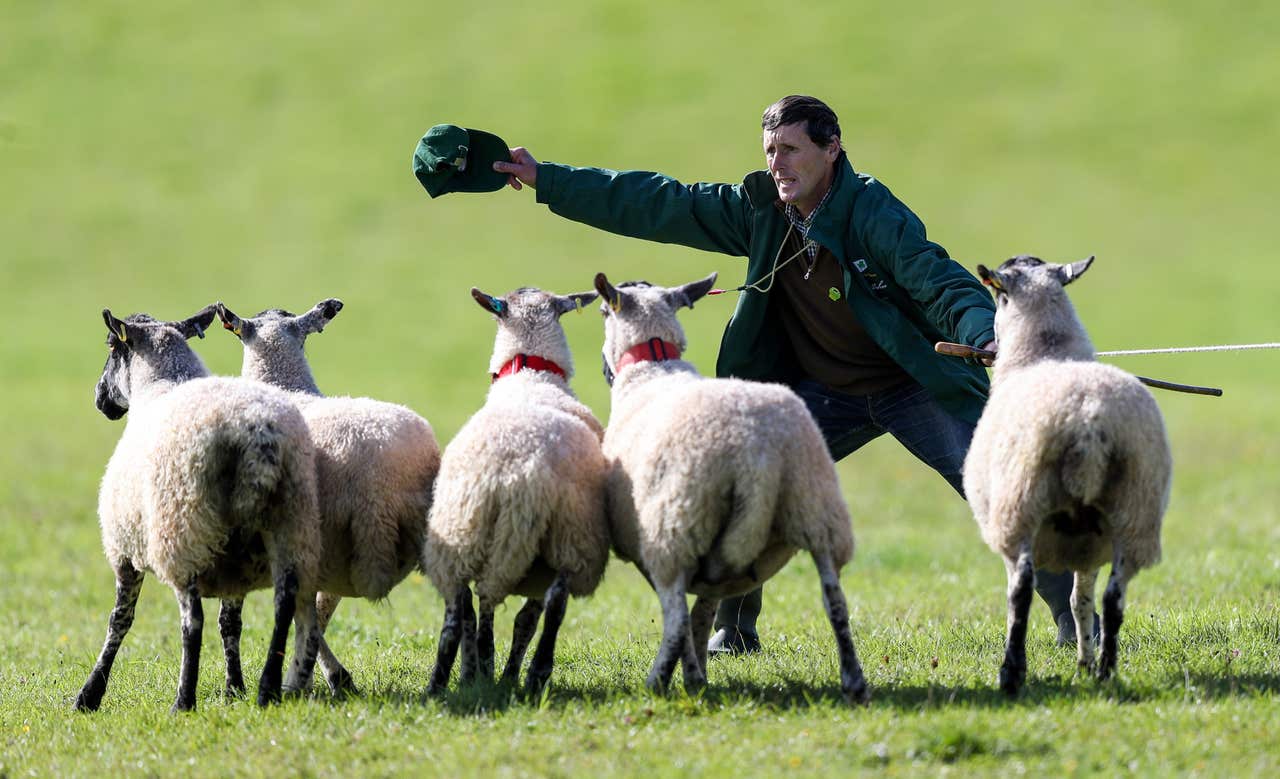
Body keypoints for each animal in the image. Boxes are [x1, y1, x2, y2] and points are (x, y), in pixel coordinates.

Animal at [76, 307, 322, 712]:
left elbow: (119, 621)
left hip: (183, 533)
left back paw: (184, 700)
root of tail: (254, 435)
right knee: (283, 605)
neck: (161, 382)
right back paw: (266, 689)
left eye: (111, 346)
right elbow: (231, 623)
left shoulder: (124, 548)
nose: (100, 399)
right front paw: (234, 687)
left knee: (192, 621)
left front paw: (90, 694)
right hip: (288, 526)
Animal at [422, 286, 609, 697]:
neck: (531, 374)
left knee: (462, 613)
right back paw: (520, 672)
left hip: (462, 536)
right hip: (563, 539)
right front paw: (509, 672)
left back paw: (447, 683)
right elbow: (527, 619)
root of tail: (511, 475)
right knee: (538, 607)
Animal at [593, 272, 870, 704]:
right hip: (816, 506)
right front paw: (699, 676)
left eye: (605, 311)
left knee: (674, 619)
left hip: (677, 527)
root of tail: (757, 451)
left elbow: (687, 619)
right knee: (835, 602)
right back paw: (854, 682)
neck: (652, 367)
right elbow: (703, 615)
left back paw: (659, 682)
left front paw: (691, 676)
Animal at [962, 255, 1172, 696]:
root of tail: (1087, 417)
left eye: (998, 297)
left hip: (1021, 507)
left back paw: (1011, 673)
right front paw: (1084, 663)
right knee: (1112, 598)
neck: (1047, 351)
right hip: (1133, 513)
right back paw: (1105, 671)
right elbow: (1080, 601)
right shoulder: (1087, 544)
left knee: (1021, 591)